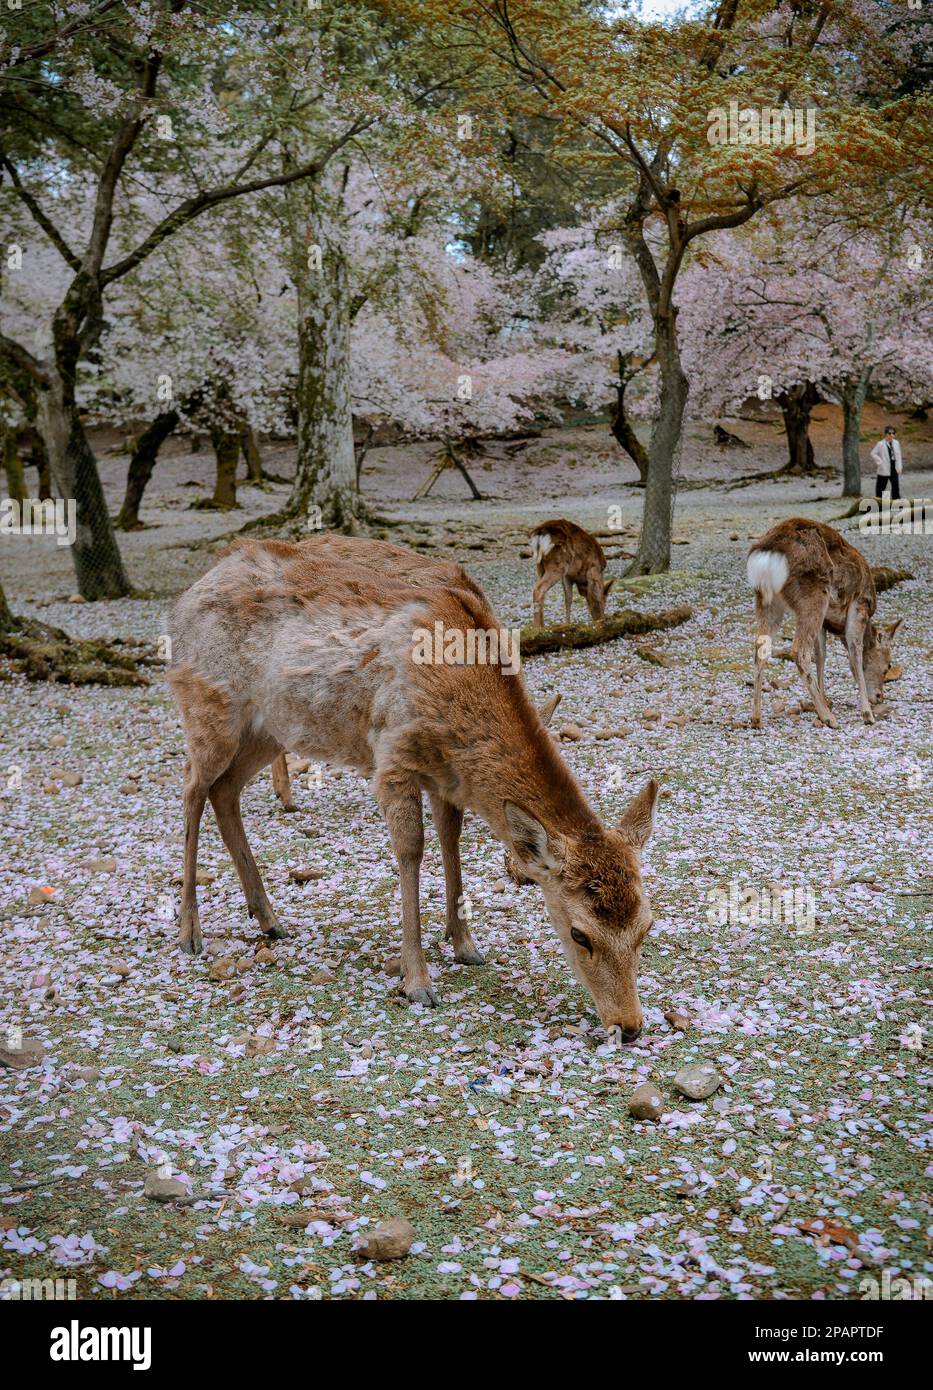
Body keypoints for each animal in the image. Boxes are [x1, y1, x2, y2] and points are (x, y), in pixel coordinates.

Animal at [168, 537, 658, 1040]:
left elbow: (450, 840)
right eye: (581, 934)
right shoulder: (394, 757)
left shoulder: (445, 777)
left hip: (268, 729)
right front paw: (418, 981)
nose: (629, 1024)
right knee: (191, 790)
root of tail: (186, 598)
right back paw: (190, 932)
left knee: (224, 791)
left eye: (646, 927)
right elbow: (411, 851)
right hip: (207, 705)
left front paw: (465, 944)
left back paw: (269, 919)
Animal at [747, 518, 902, 730]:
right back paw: (829, 718)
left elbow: (821, 655)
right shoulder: (859, 606)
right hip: (814, 595)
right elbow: (855, 654)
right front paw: (867, 714)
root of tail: (768, 554)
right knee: (799, 651)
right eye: (888, 665)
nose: (879, 697)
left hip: (767, 600)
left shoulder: (824, 624)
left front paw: (824, 700)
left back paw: (756, 718)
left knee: (760, 648)